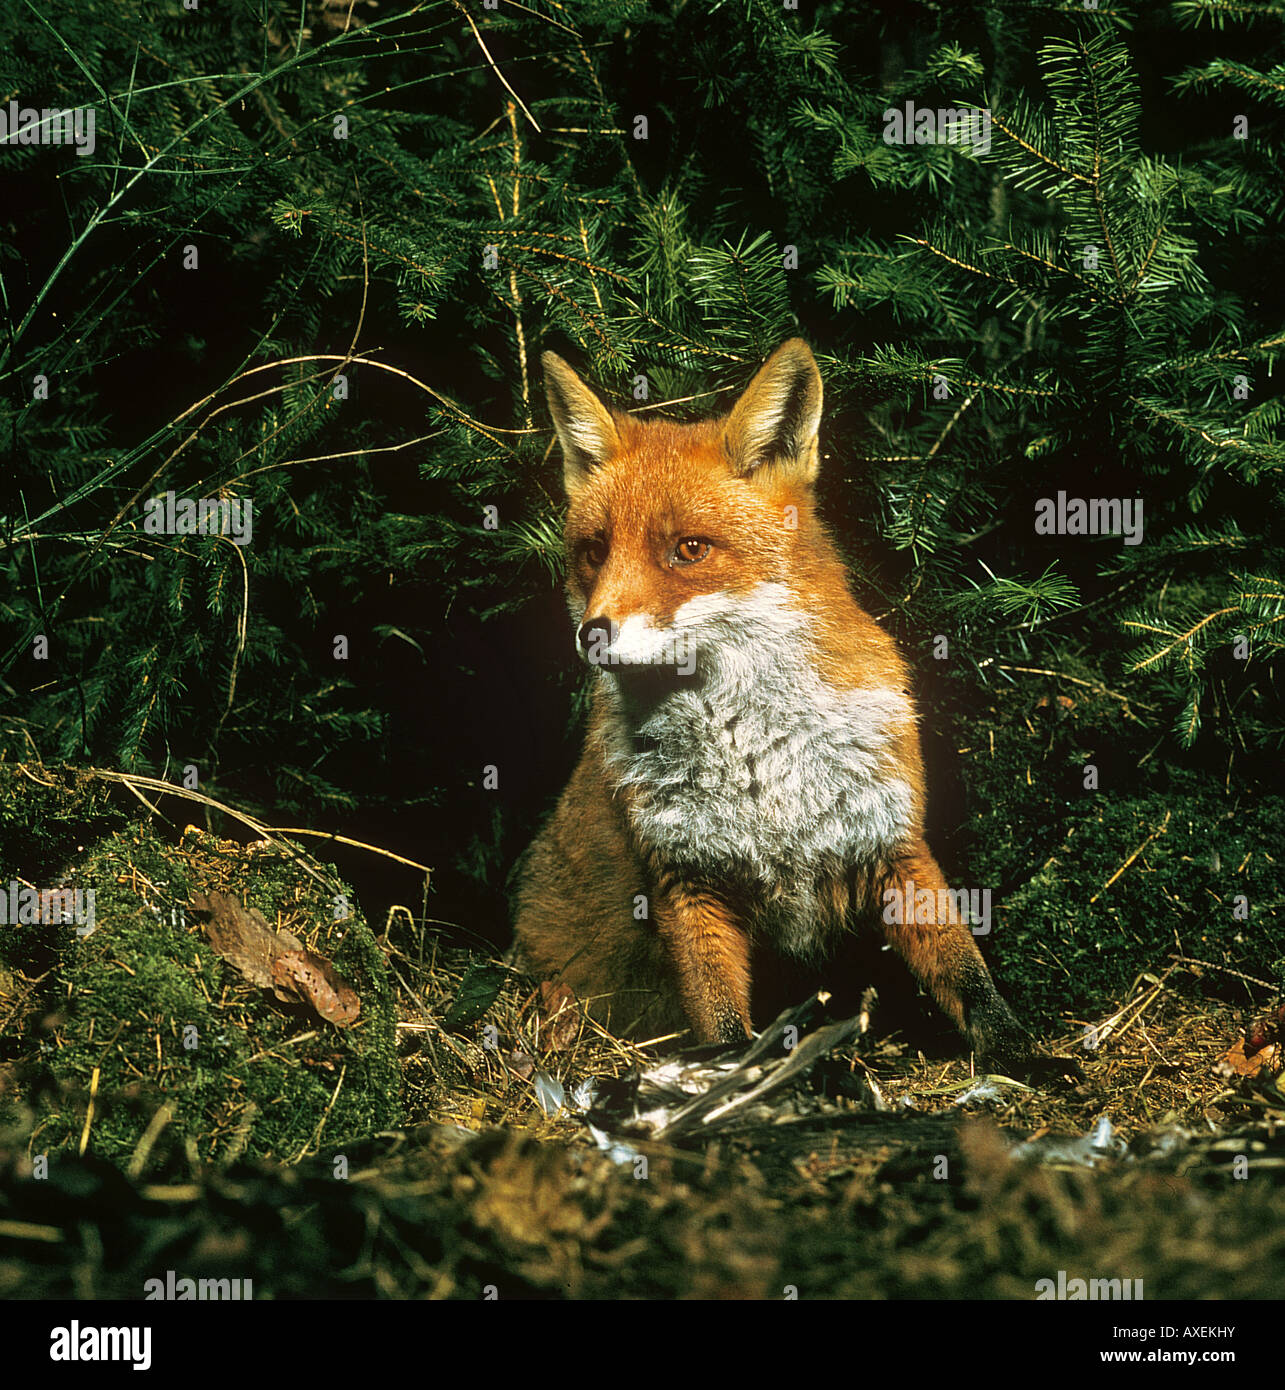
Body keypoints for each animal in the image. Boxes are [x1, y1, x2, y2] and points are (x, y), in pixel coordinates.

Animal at [510, 338, 1033, 1068]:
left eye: (688, 549)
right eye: (594, 552)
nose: (592, 633)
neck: (753, 754)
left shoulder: (891, 840)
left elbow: (965, 974)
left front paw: (1022, 1055)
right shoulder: (684, 880)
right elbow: (722, 1020)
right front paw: (741, 1078)